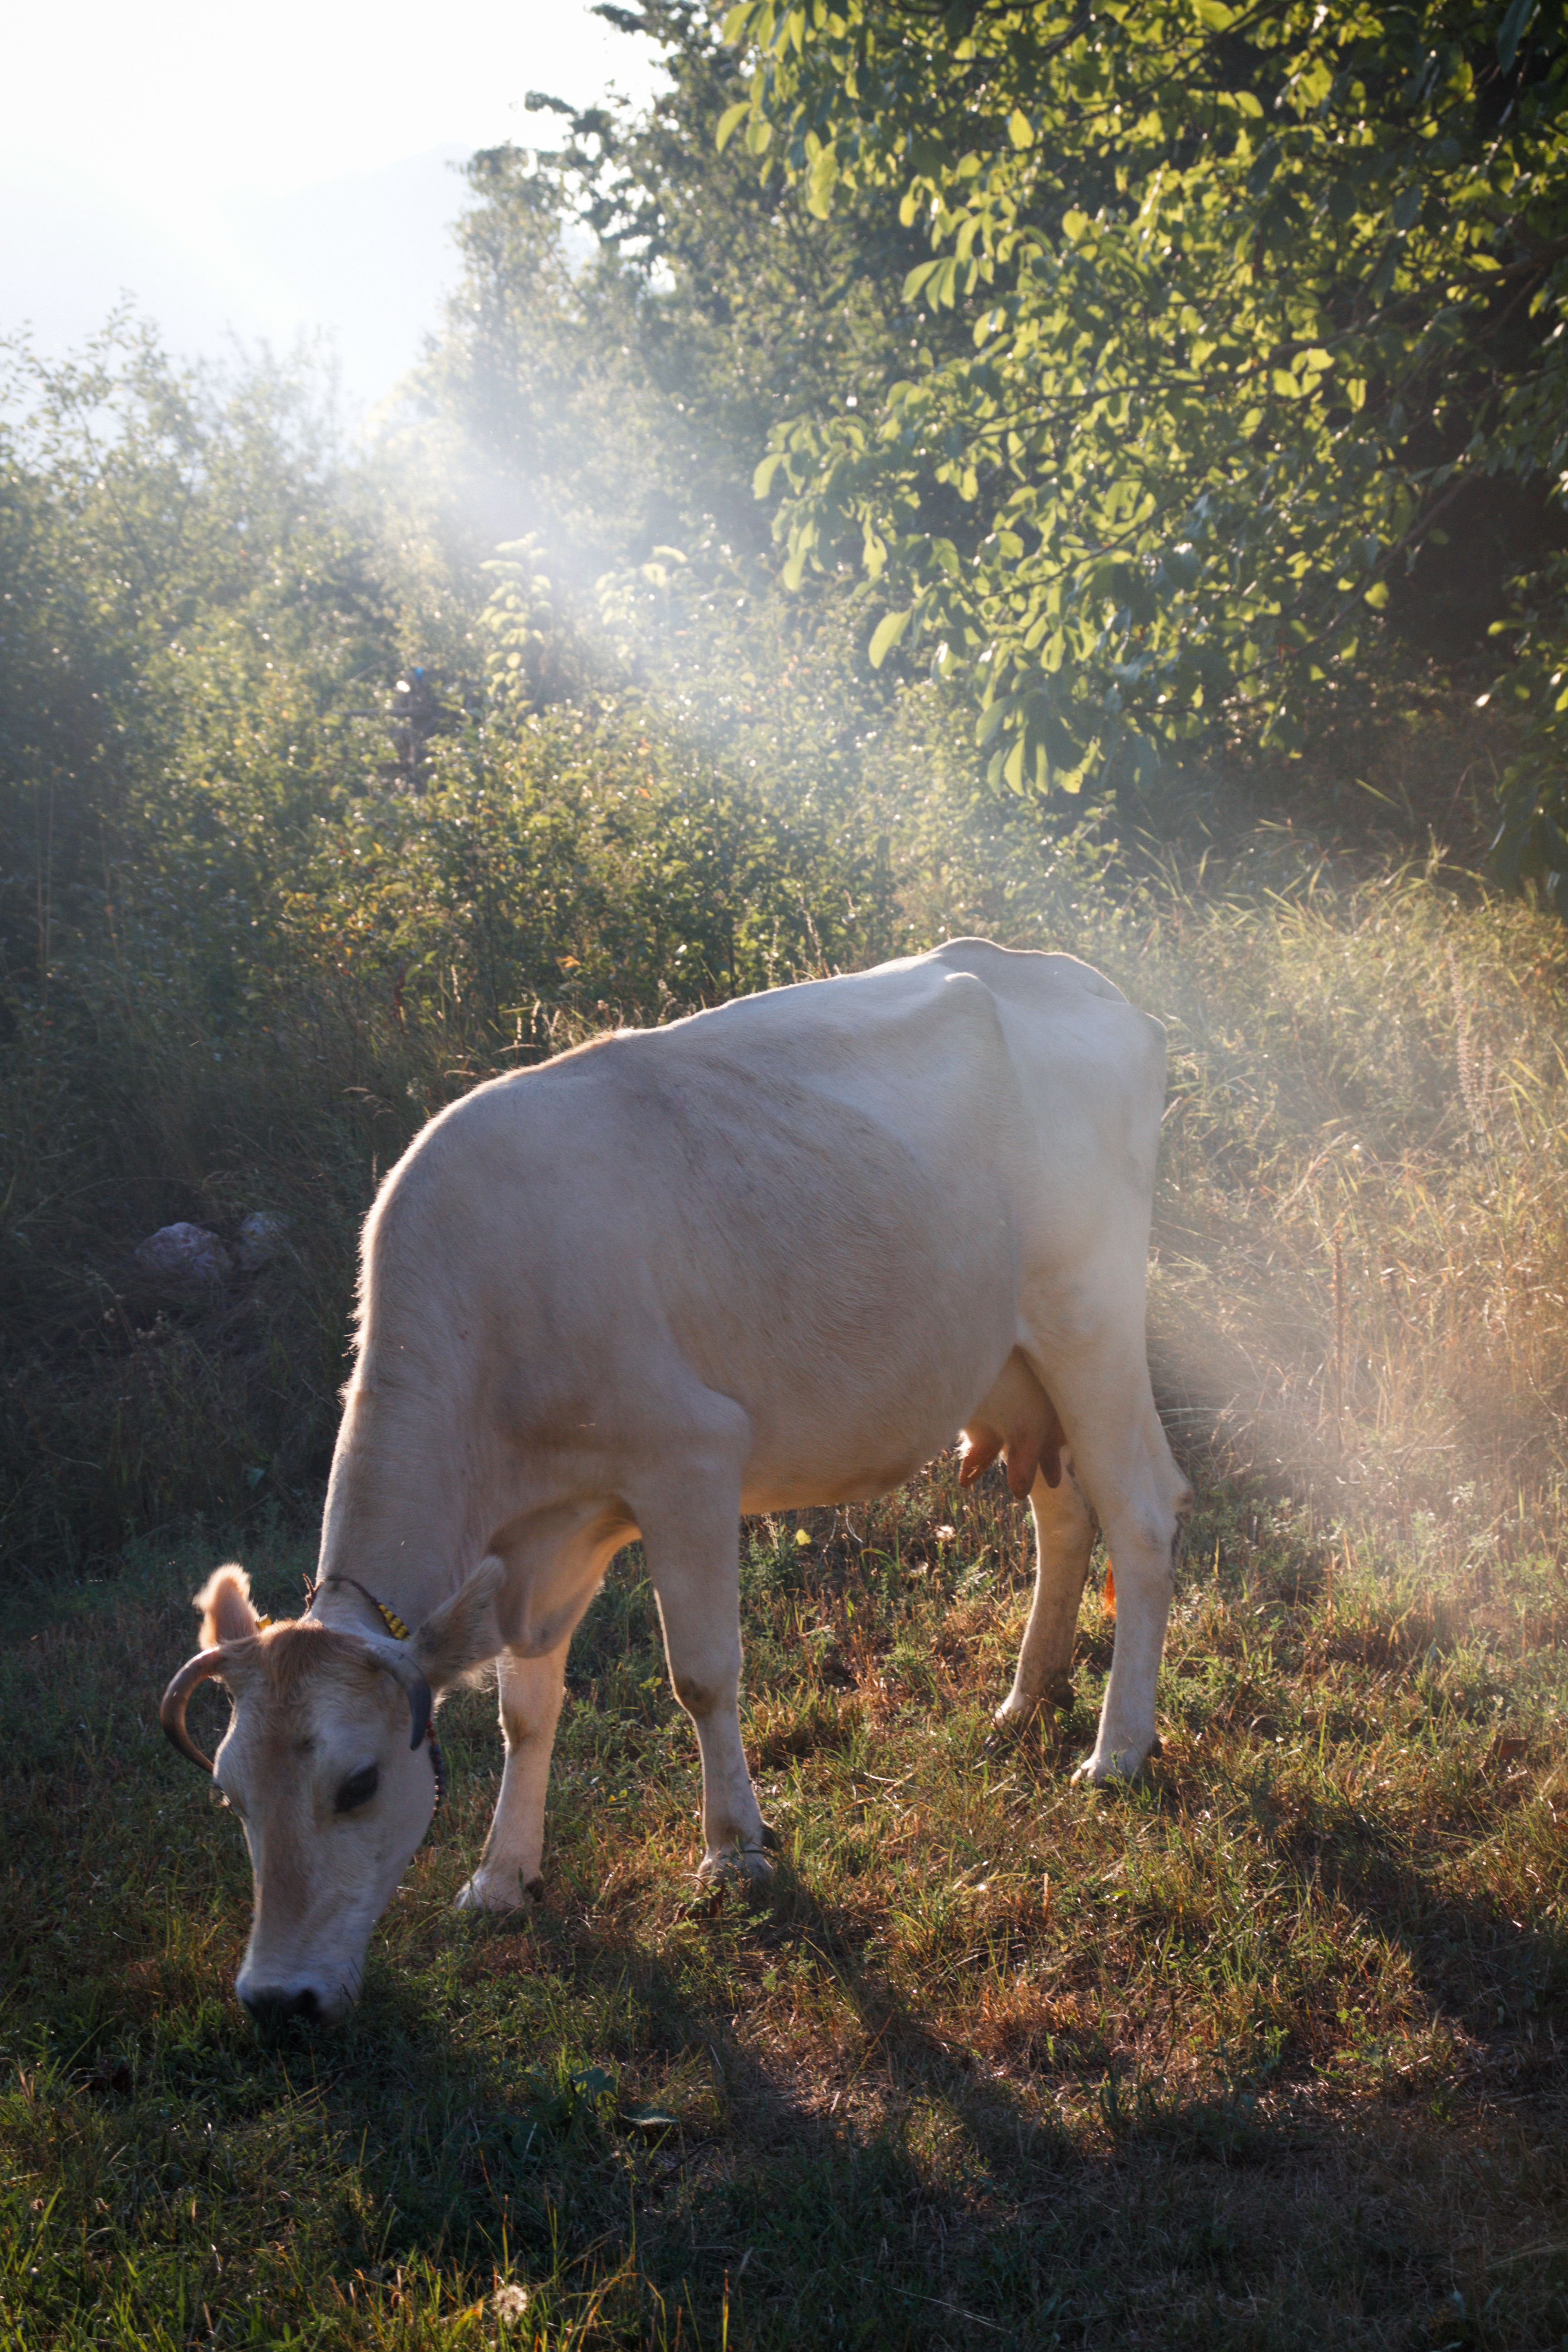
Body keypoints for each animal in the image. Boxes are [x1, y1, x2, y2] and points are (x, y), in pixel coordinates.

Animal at [161, 938, 1190, 2022]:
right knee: (1063, 1513)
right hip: (1013, 1361)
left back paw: (1117, 1751)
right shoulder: (539, 1538)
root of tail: (1067, 976)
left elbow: (700, 1674)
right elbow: (525, 1707)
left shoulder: (689, 1460)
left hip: (1088, 1315)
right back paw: (1026, 1700)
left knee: (1141, 1511)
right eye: (230, 1792)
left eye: (357, 1783)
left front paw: (735, 1850)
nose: (278, 1999)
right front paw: (501, 1875)